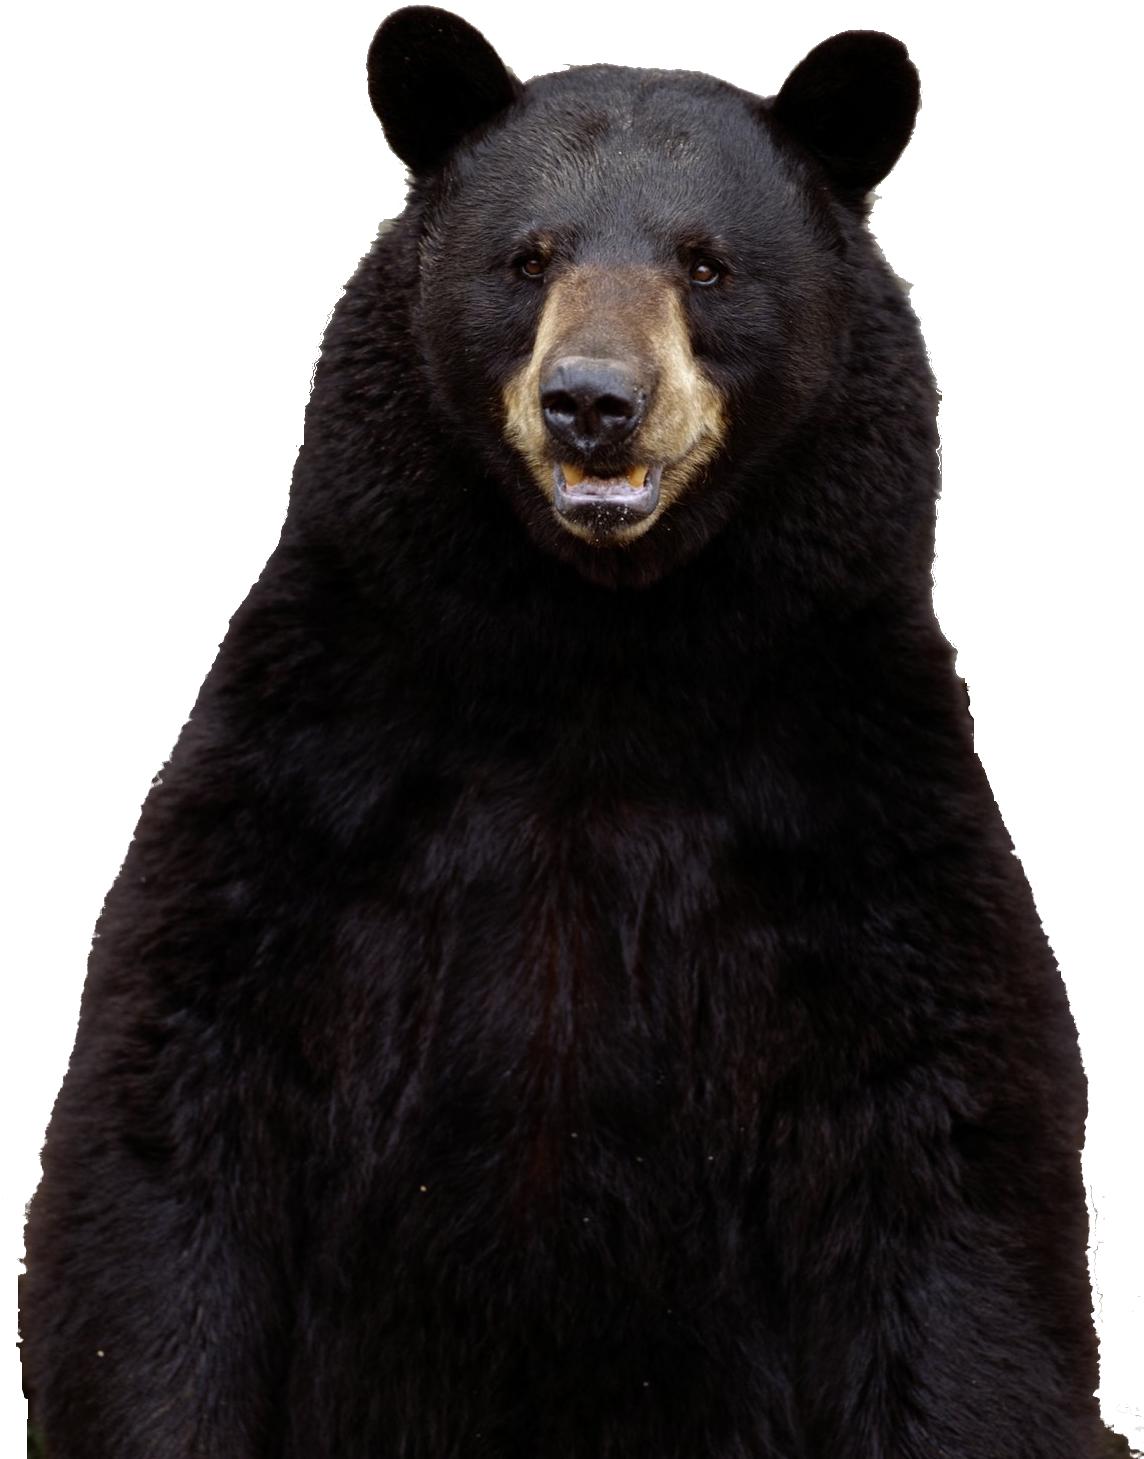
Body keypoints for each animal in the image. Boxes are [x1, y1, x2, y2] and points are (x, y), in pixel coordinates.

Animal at [21, 7, 1131, 1456]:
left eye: (707, 264)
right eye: (527, 258)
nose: (593, 400)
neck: (599, 657)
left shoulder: (854, 788)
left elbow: (939, 1138)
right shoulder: (316, 759)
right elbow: (184, 1081)